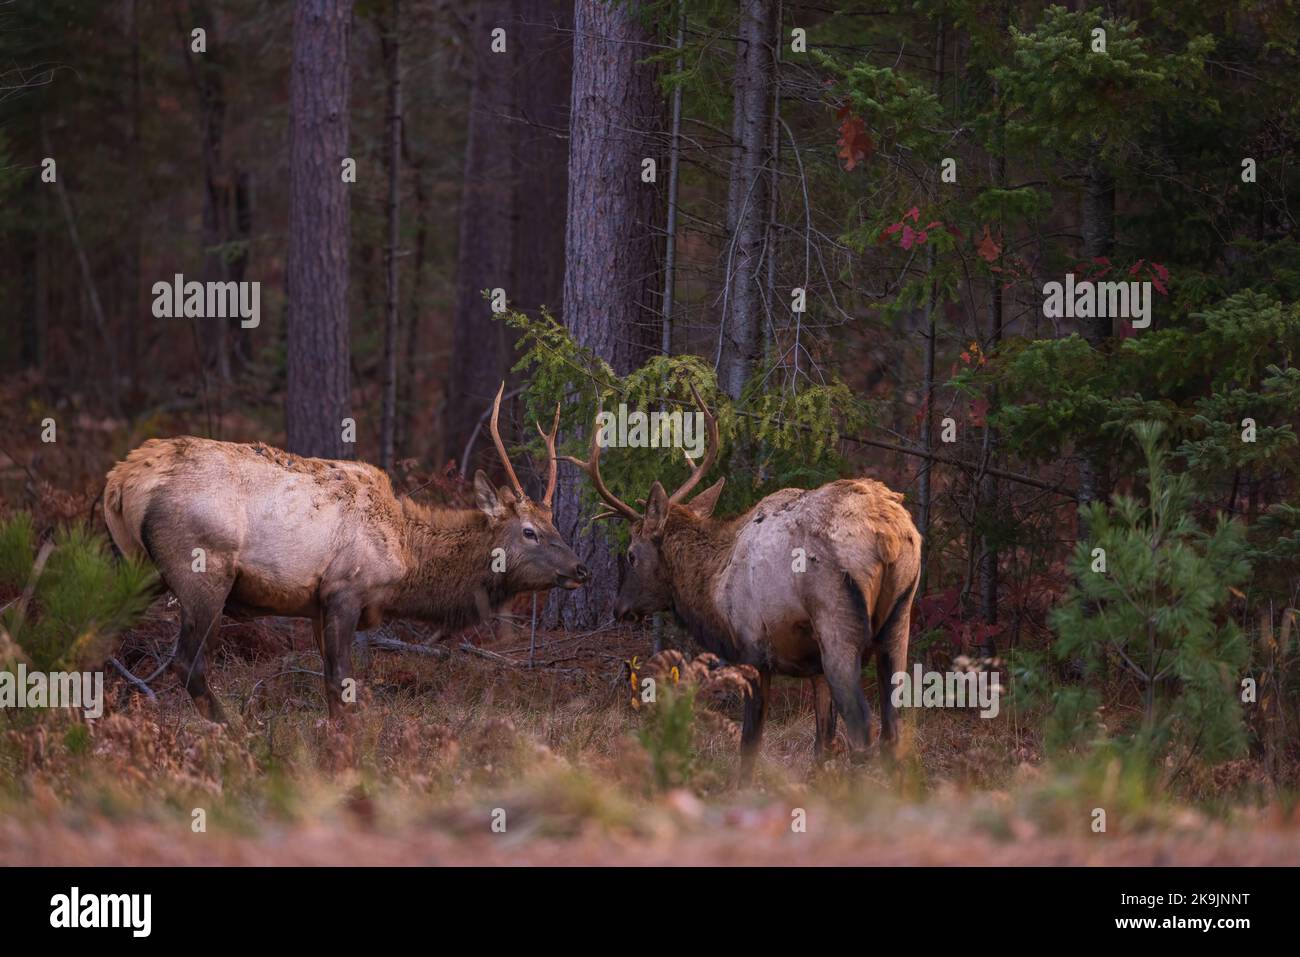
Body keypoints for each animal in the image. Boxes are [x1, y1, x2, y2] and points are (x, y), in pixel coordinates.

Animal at [103, 384, 589, 722]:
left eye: (555, 526)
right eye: (529, 532)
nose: (580, 568)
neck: (406, 561)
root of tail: (120, 480)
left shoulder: (316, 606)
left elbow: (329, 686)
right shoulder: (344, 590)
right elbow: (342, 683)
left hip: (136, 567)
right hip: (203, 572)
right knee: (187, 663)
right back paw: (235, 733)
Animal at [565, 382, 922, 782]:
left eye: (630, 554)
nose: (619, 608)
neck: (711, 588)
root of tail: (889, 533)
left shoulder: (753, 649)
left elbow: (750, 744)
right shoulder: (813, 667)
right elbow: (823, 745)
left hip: (837, 625)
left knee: (863, 730)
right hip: (900, 622)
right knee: (895, 732)